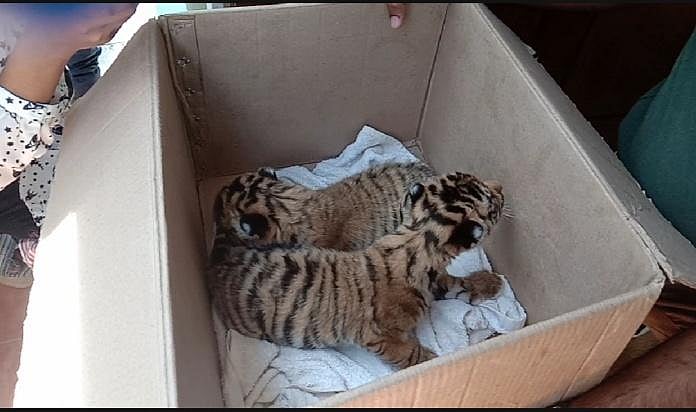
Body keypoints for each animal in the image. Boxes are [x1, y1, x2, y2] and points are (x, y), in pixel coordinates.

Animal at [208, 171, 506, 369]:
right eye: (492, 205)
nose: (501, 186)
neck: (416, 238)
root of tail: (219, 258)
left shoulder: (435, 281)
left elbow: (457, 284)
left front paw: (490, 283)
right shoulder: (381, 337)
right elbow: (409, 354)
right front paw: (433, 362)